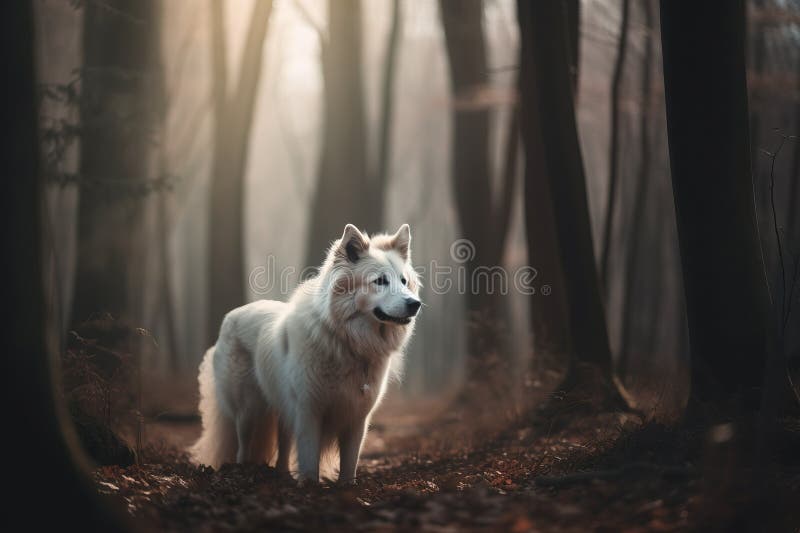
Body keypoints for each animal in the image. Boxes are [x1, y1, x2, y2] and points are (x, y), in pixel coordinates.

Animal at [189, 224, 421, 482]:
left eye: (403, 281)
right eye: (380, 281)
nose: (415, 304)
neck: (345, 342)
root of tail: (231, 315)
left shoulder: (357, 418)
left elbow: (349, 466)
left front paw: (346, 487)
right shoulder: (309, 411)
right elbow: (309, 460)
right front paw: (309, 484)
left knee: (283, 445)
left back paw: (283, 476)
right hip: (248, 411)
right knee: (243, 446)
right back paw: (242, 471)